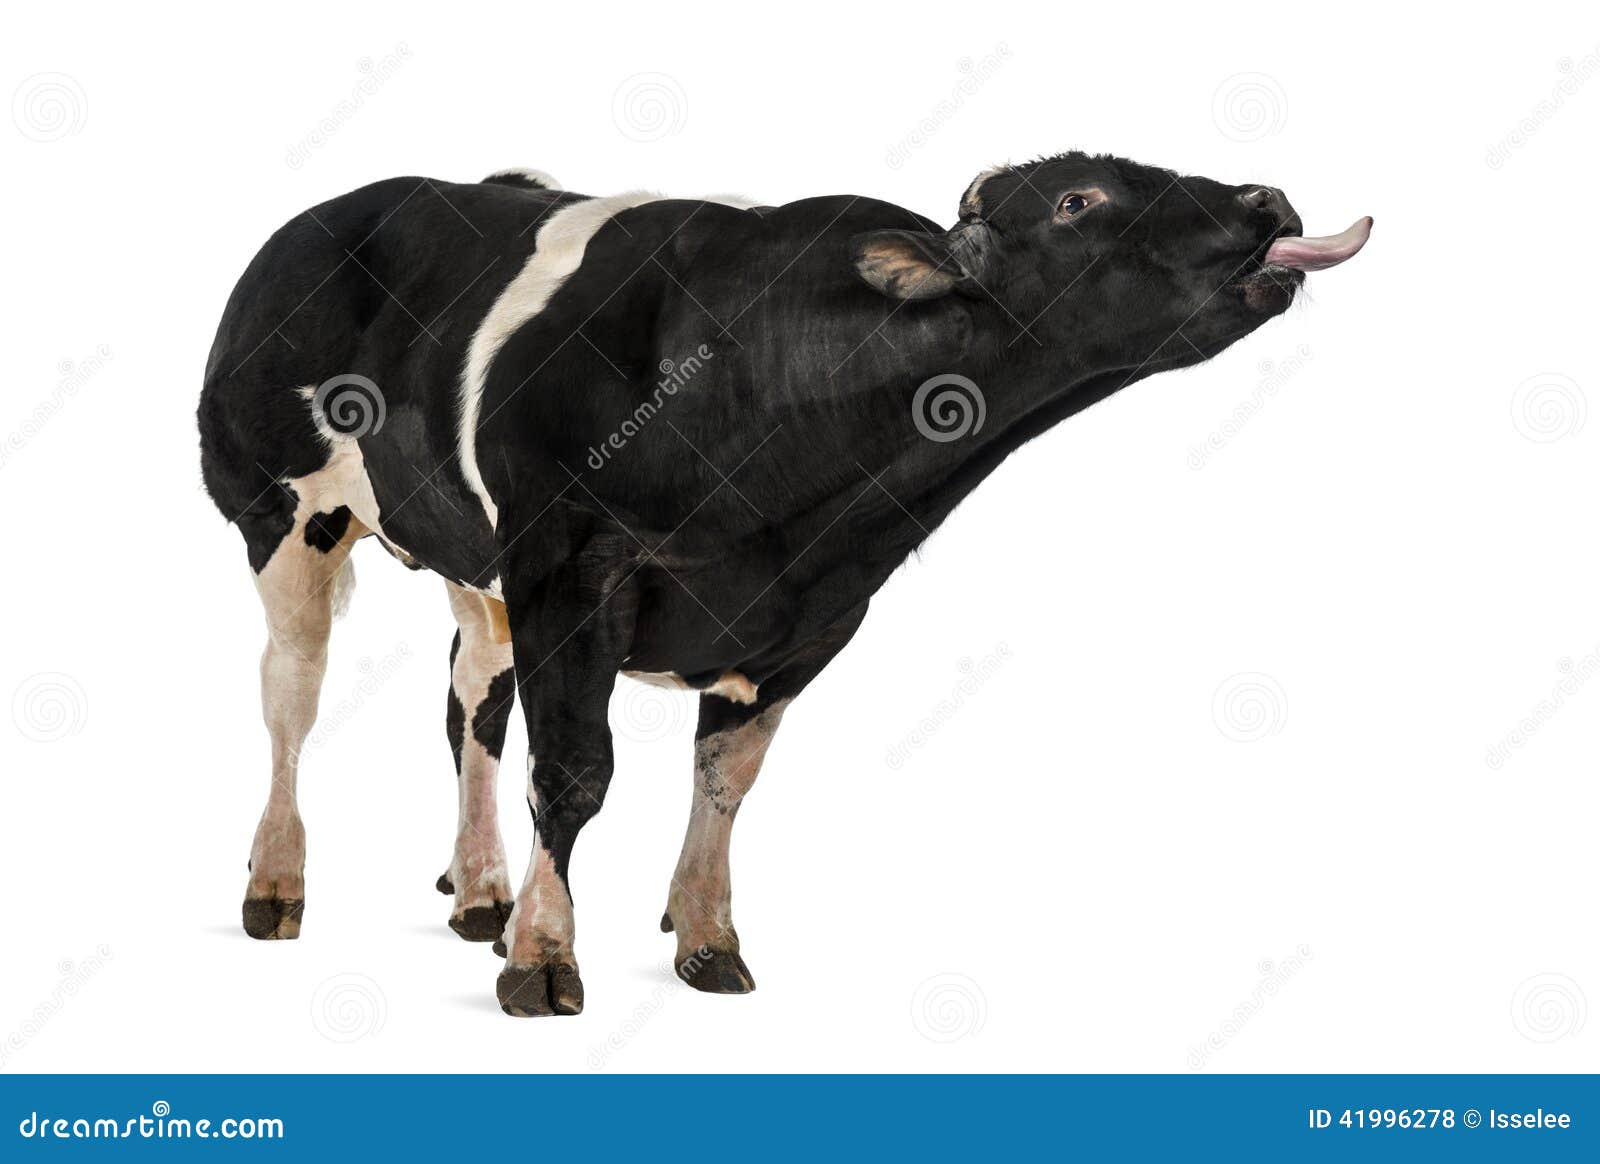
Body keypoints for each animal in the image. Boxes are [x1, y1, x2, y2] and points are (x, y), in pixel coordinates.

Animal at [198, 154, 1370, 1016]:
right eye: (1080, 201)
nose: (1267, 201)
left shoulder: (814, 614)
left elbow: (725, 780)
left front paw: (705, 938)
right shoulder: (567, 571)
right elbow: (574, 774)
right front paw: (544, 959)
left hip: (468, 564)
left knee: (469, 702)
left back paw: (481, 889)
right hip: (278, 512)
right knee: (291, 693)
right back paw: (278, 883)